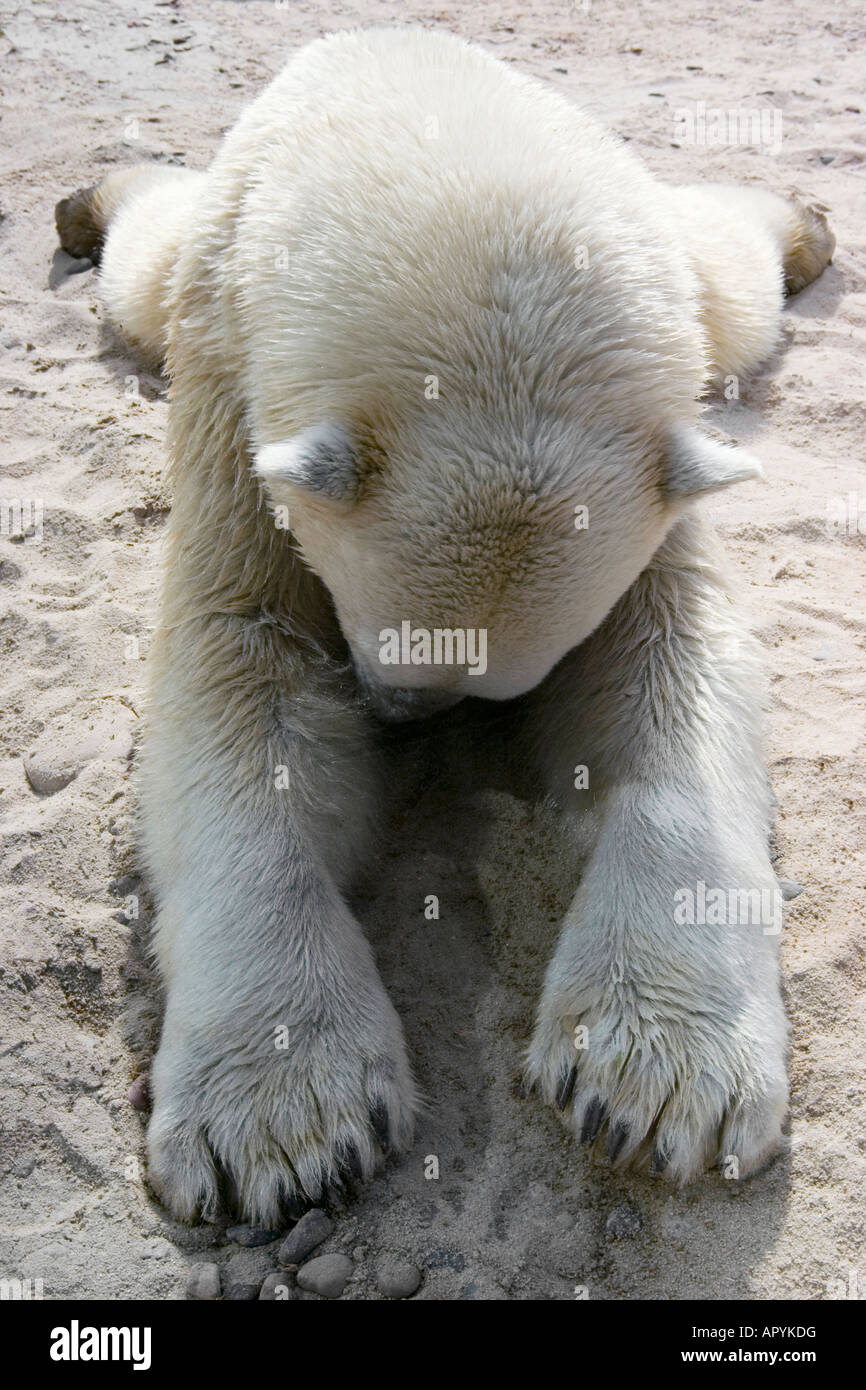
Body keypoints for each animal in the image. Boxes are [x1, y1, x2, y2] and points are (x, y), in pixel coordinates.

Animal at [55, 26, 834, 1223]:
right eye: (386, 649)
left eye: (505, 684)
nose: (405, 718)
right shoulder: (229, 388)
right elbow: (240, 667)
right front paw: (279, 1120)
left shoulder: (650, 469)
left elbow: (670, 662)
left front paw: (653, 1081)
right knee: (140, 259)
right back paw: (86, 203)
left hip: (687, 291)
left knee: (733, 279)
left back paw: (805, 226)